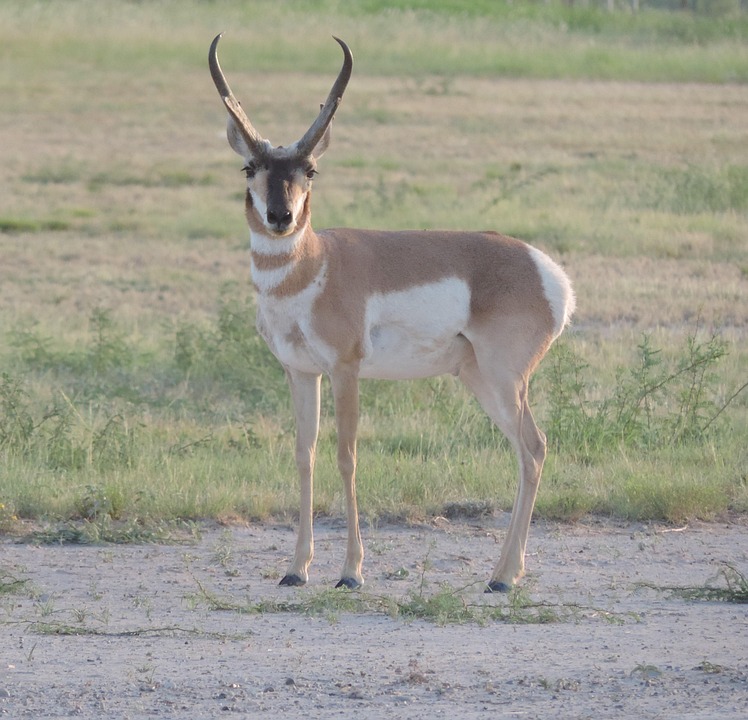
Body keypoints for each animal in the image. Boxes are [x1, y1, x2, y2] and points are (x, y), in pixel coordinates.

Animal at [208, 33, 575, 592]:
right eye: (251, 167)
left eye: (309, 169)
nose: (280, 217)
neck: (315, 263)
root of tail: (546, 271)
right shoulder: (301, 373)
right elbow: (304, 455)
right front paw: (296, 569)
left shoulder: (346, 370)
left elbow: (347, 457)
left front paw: (351, 572)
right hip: (480, 379)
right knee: (526, 449)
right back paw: (504, 573)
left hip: (503, 378)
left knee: (533, 448)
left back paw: (503, 577)